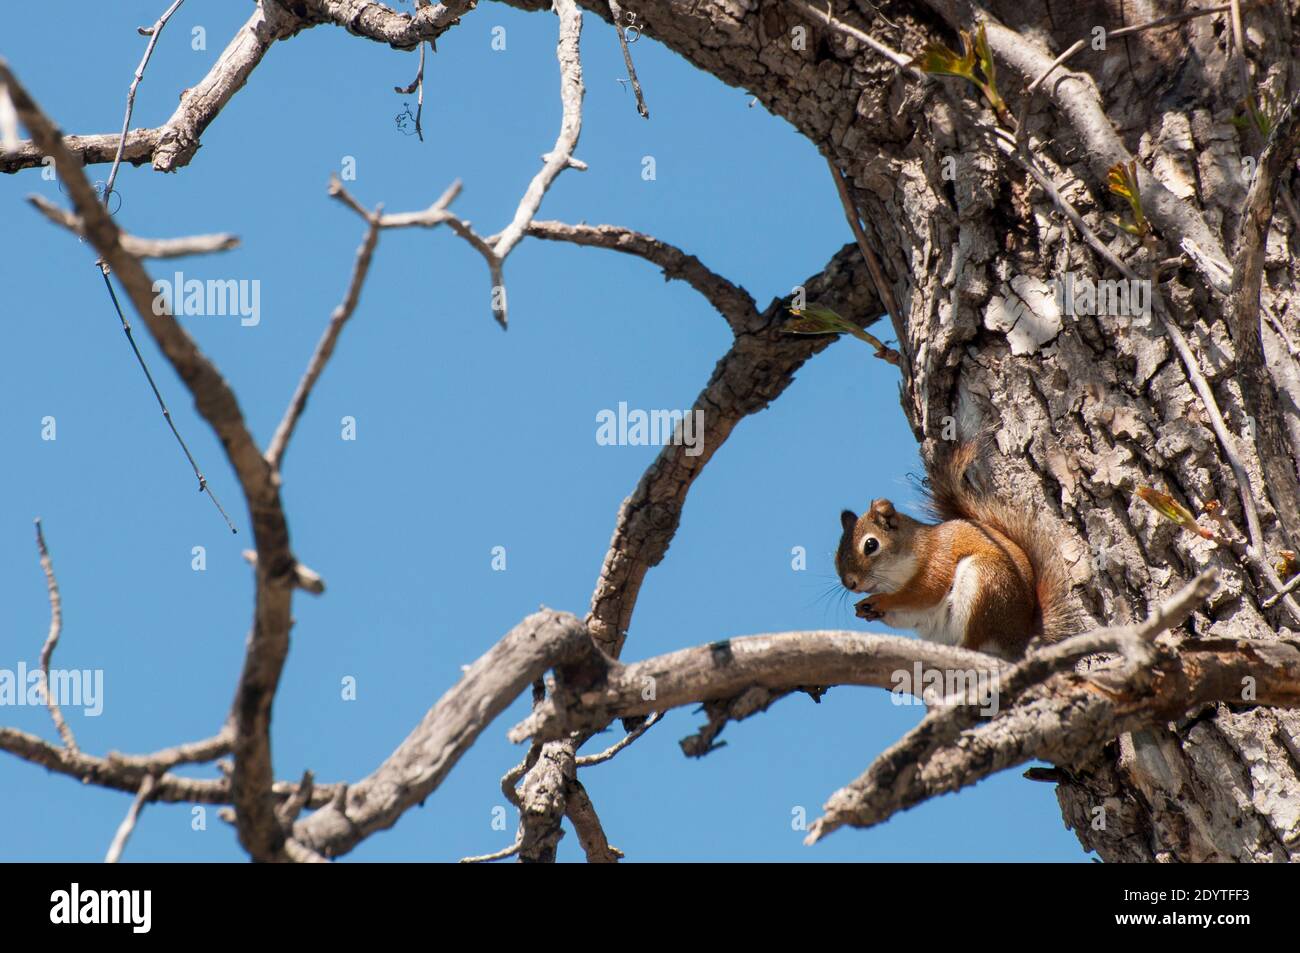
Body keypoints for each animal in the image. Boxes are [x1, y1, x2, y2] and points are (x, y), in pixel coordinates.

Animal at [835, 441, 1078, 659]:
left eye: (871, 545)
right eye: (836, 556)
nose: (850, 584)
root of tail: (1021, 637)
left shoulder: (936, 558)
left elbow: (924, 592)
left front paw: (881, 601)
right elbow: (907, 614)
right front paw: (866, 609)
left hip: (987, 585)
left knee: (975, 640)